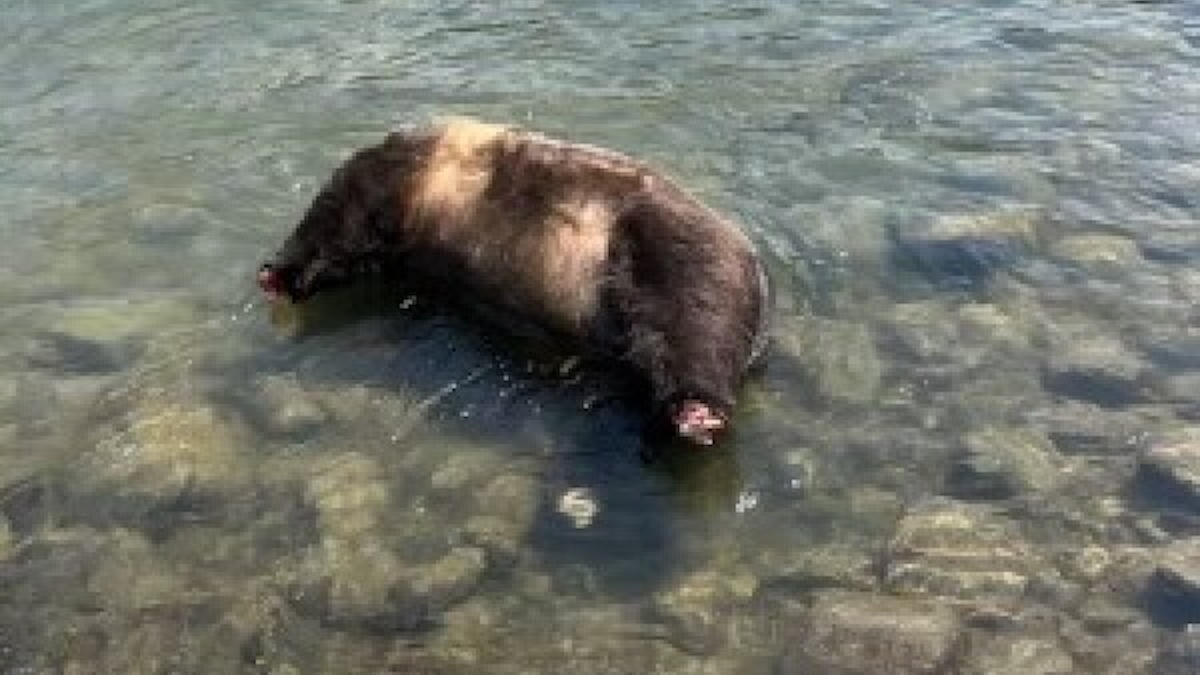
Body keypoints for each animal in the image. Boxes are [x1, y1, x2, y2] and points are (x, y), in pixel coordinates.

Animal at [259, 118, 769, 446]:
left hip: (671, 252)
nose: (273, 275)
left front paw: (283, 273)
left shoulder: (387, 194)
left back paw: (696, 410)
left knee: (693, 324)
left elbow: (339, 231)